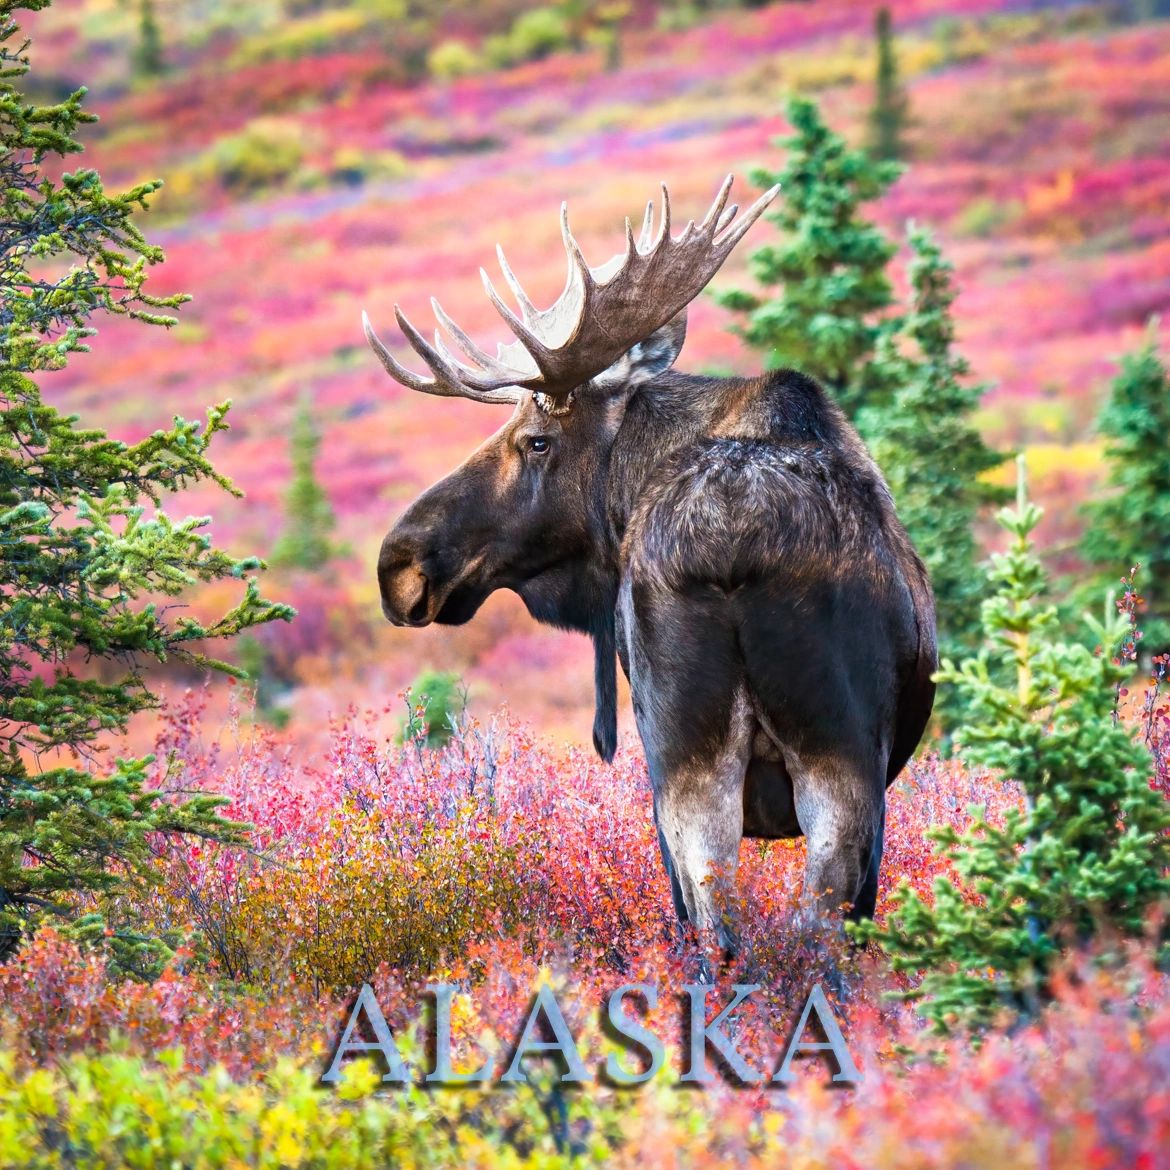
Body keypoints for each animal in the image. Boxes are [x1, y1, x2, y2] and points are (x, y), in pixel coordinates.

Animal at [369, 176, 937, 959]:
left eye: (535, 441)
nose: (399, 566)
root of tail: (729, 536)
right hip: (819, 750)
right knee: (786, 920)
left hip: (713, 752)